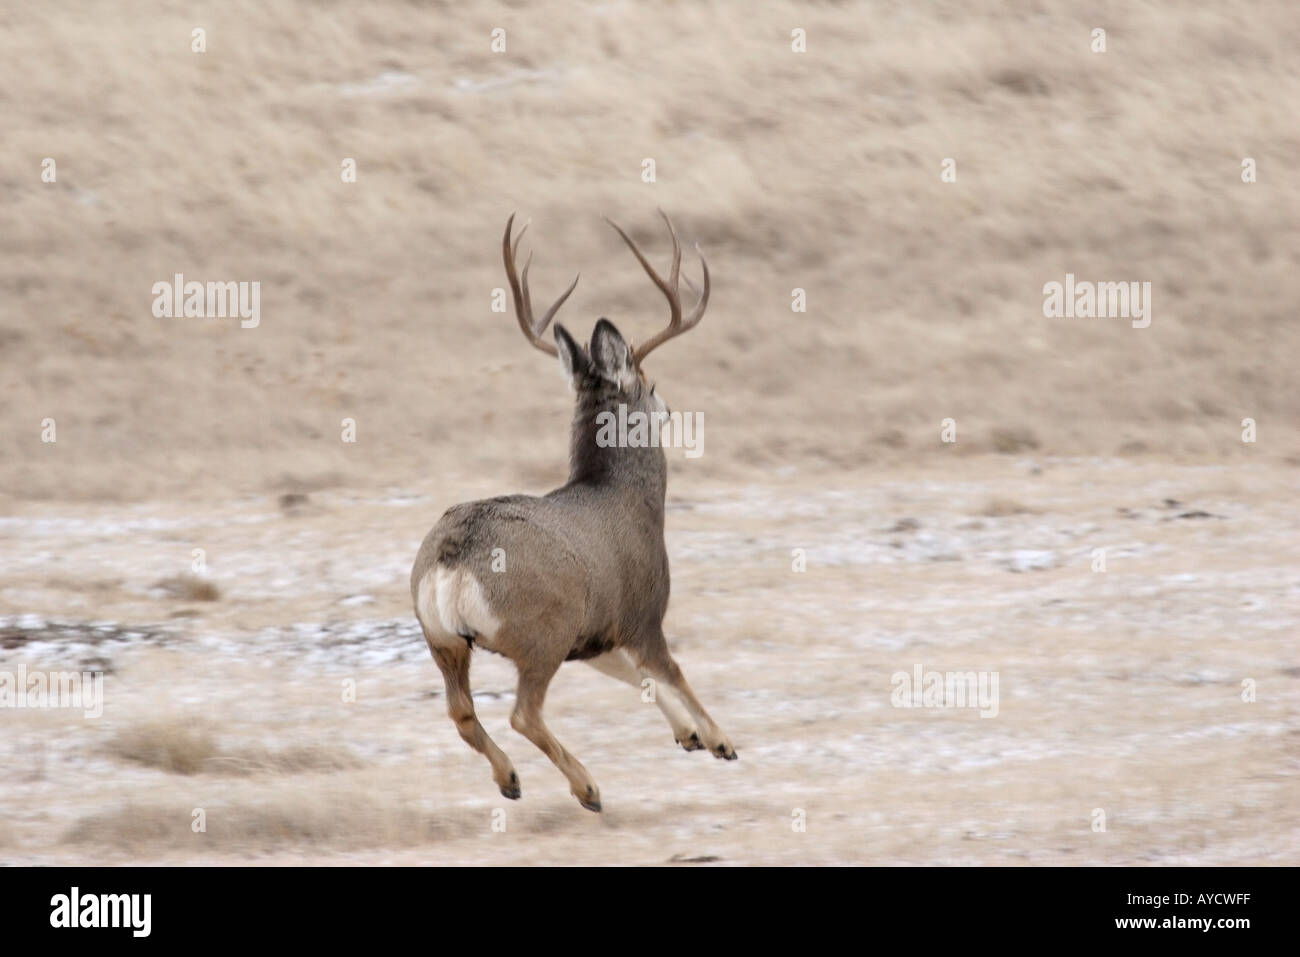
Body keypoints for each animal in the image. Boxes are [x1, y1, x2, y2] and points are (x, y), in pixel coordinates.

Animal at [410, 211, 736, 812]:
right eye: (649, 383)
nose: (670, 408)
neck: (622, 496)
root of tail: (452, 557)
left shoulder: (595, 634)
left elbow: (640, 678)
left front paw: (689, 735)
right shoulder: (642, 613)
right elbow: (673, 672)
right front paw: (720, 738)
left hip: (442, 638)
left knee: (462, 712)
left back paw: (510, 779)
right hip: (542, 632)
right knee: (523, 714)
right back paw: (587, 787)